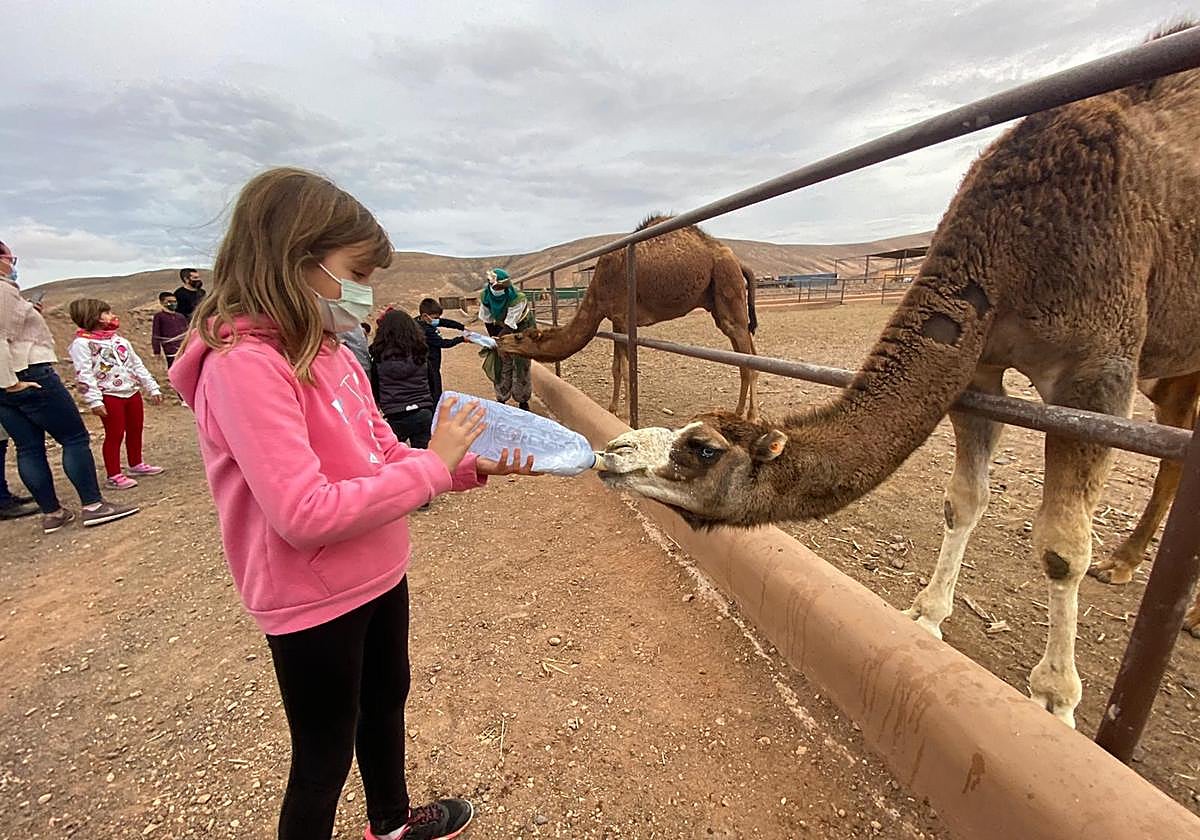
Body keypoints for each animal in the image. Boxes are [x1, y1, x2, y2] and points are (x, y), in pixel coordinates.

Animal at [497, 216, 760, 419]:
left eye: (519, 336)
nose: (499, 342)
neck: (597, 289)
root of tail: (738, 262)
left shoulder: (623, 317)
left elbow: (624, 368)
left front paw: (622, 411)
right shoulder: (616, 319)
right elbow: (615, 367)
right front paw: (612, 407)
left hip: (727, 282)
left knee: (747, 358)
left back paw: (751, 416)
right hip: (720, 302)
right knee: (747, 355)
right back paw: (740, 412)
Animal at [596, 23, 1200, 728]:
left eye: (703, 448)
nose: (612, 449)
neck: (1014, 246)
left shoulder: (1099, 369)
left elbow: (1059, 545)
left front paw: (1055, 698)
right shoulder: (978, 368)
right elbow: (963, 499)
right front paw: (927, 616)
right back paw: (1134, 569)